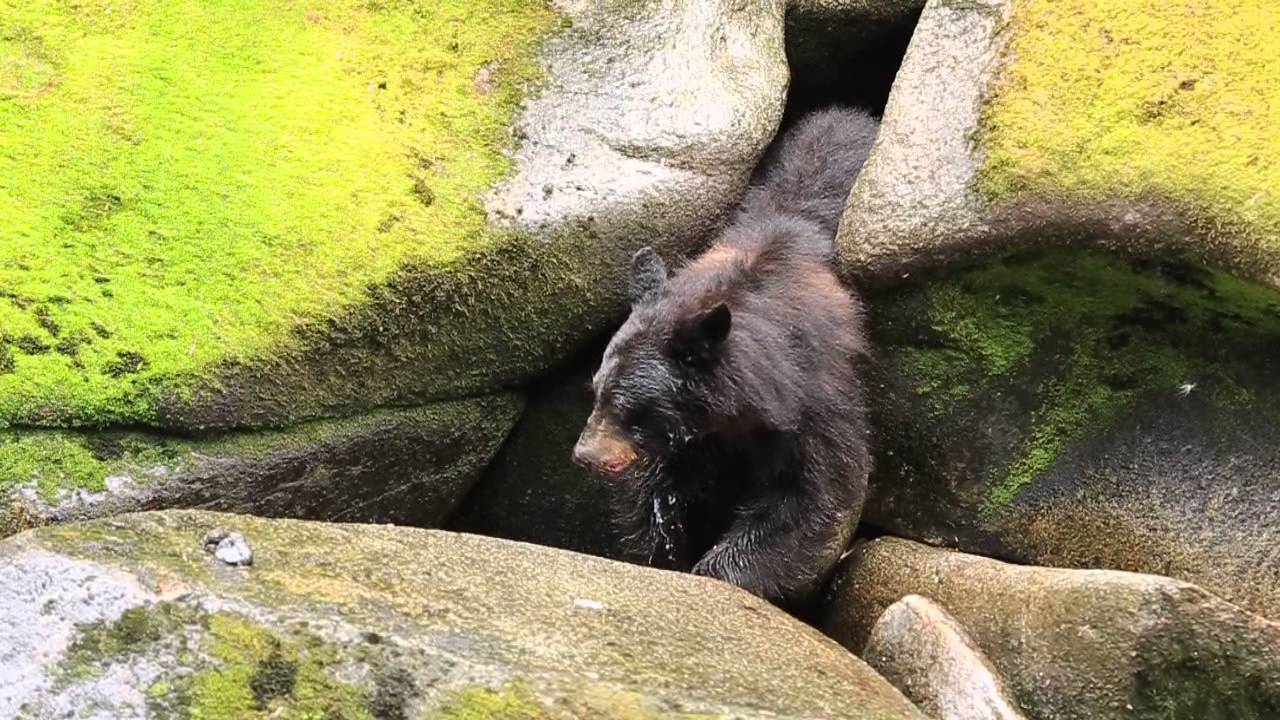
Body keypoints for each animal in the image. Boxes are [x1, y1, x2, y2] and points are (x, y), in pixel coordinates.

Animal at [572, 106, 877, 611]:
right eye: (596, 390)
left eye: (631, 407)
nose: (584, 455)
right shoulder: (692, 436)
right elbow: (658, 490)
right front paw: (664, 549)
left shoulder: (814, 402)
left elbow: (806, 493)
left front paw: (718, 570)